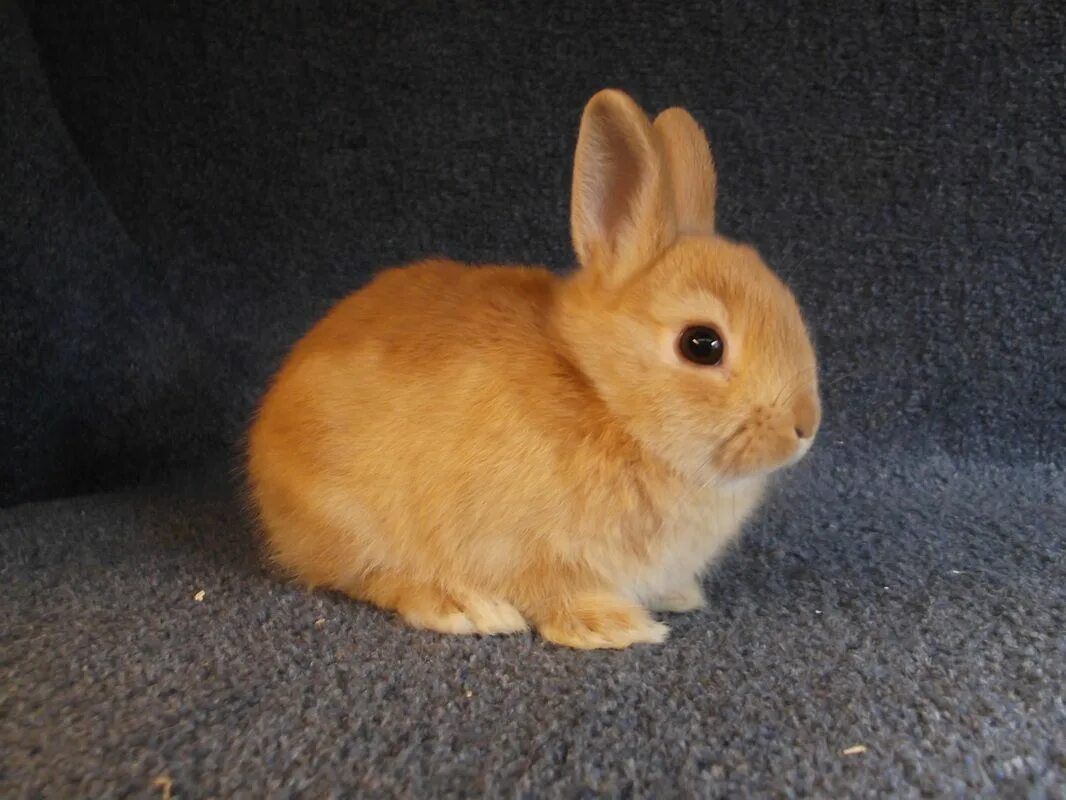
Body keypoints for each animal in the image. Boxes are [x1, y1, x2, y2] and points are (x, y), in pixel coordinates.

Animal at [247, 89, 820, 649]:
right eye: (702, 345)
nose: (804, 427)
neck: (603, 395)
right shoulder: (528, 547)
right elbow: (554, 592)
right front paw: (613, 625)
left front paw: (678, 595)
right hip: (355, 521)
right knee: (375, 576)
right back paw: (462, 606)